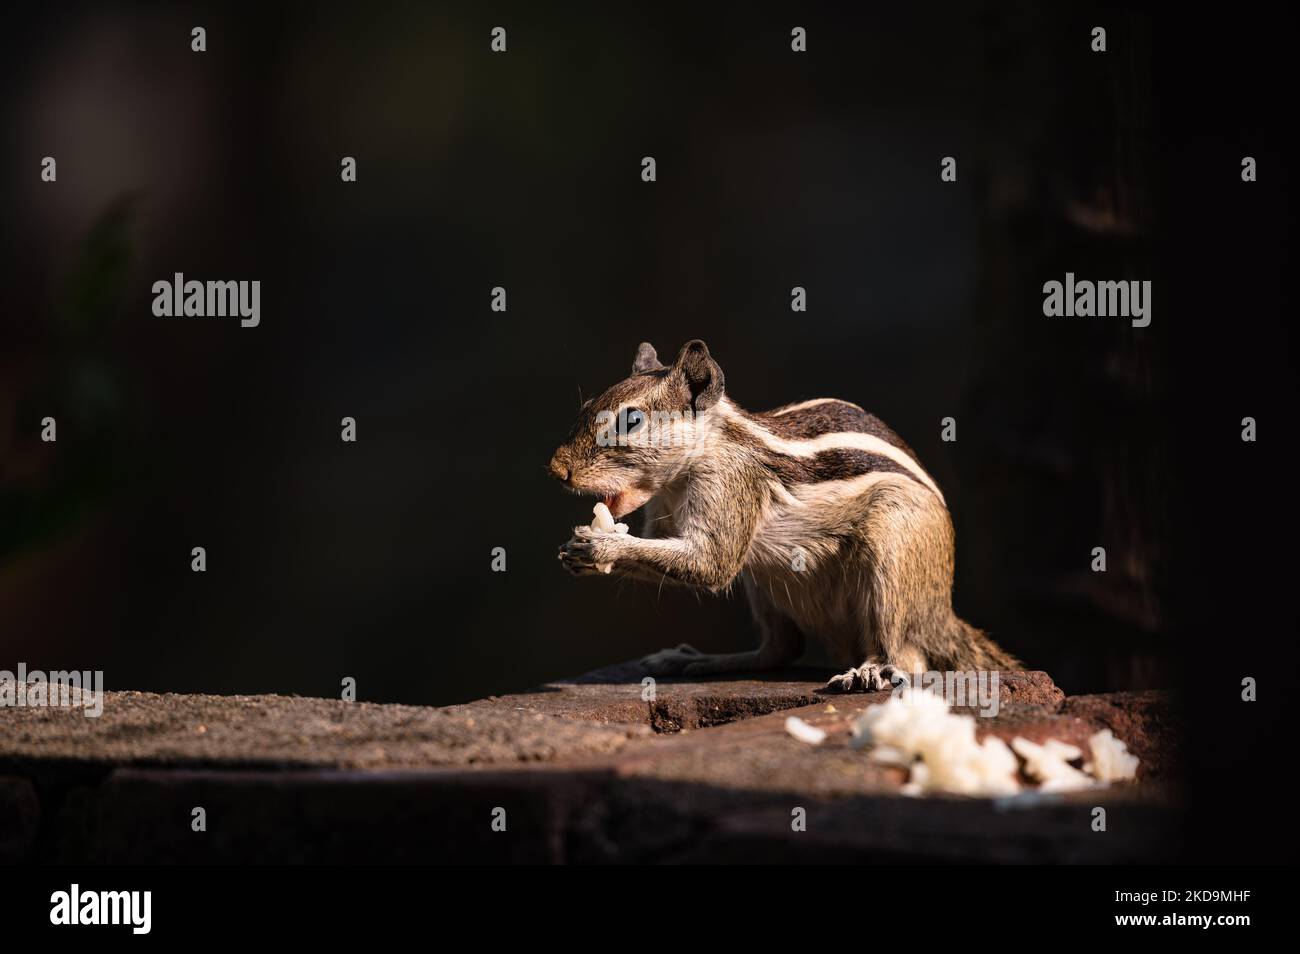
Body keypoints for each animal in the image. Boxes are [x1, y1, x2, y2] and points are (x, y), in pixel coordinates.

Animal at [550, 340, 1020, 691]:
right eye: (588, 404)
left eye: (631, 420)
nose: (557, 470)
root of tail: (940, 612)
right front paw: (582, 550)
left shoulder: (731, 484)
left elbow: (711, 561)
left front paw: (601, 545)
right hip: (764, 583)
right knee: (779, 650)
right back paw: (704, 660)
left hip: (891, 553)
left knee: (908, 656)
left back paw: (870, 671)